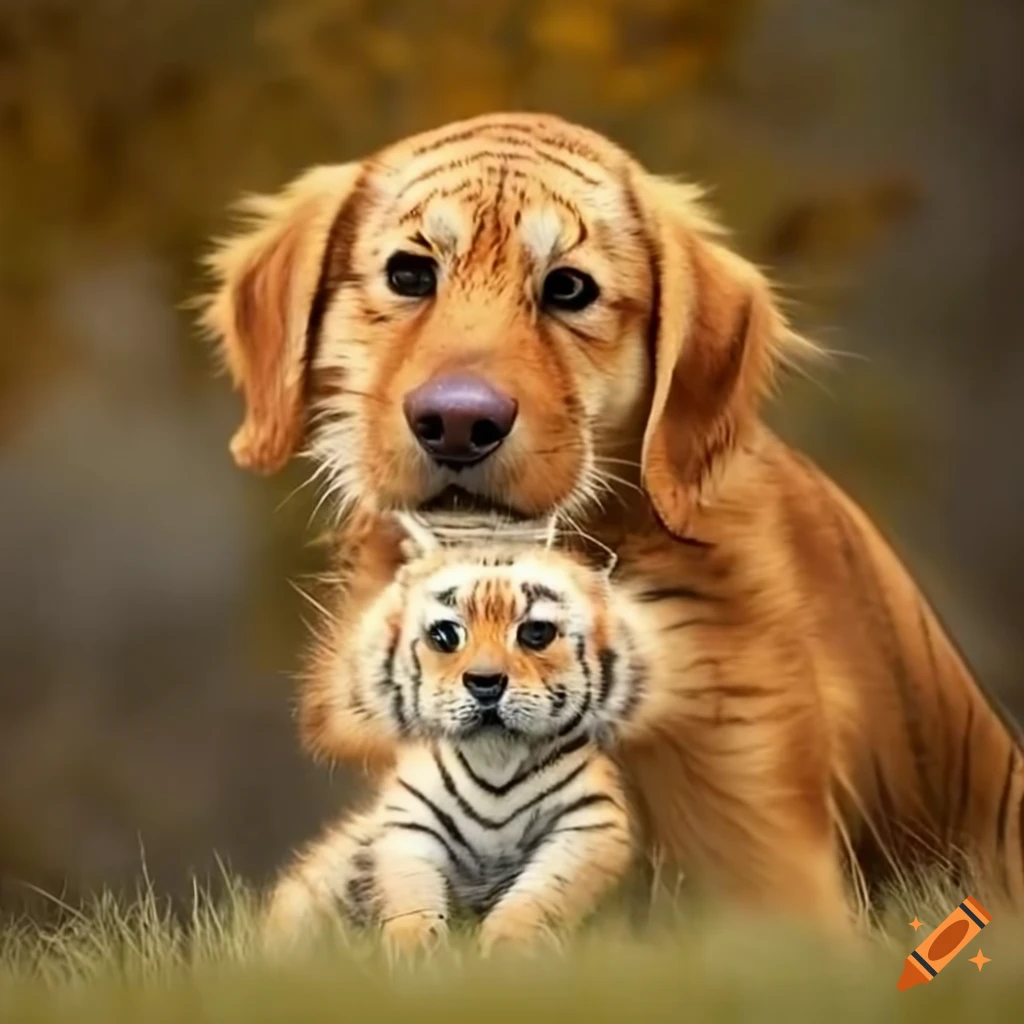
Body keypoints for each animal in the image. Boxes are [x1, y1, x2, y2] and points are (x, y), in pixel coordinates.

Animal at [261, 517, 650, 956]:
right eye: (447, 635)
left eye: (536, 633)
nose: (485, 682)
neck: (495, 757)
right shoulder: (409, 826)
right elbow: (411, 901)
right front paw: (413, 952)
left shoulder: (590, 823)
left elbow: (539, 898)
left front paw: (509, 950)